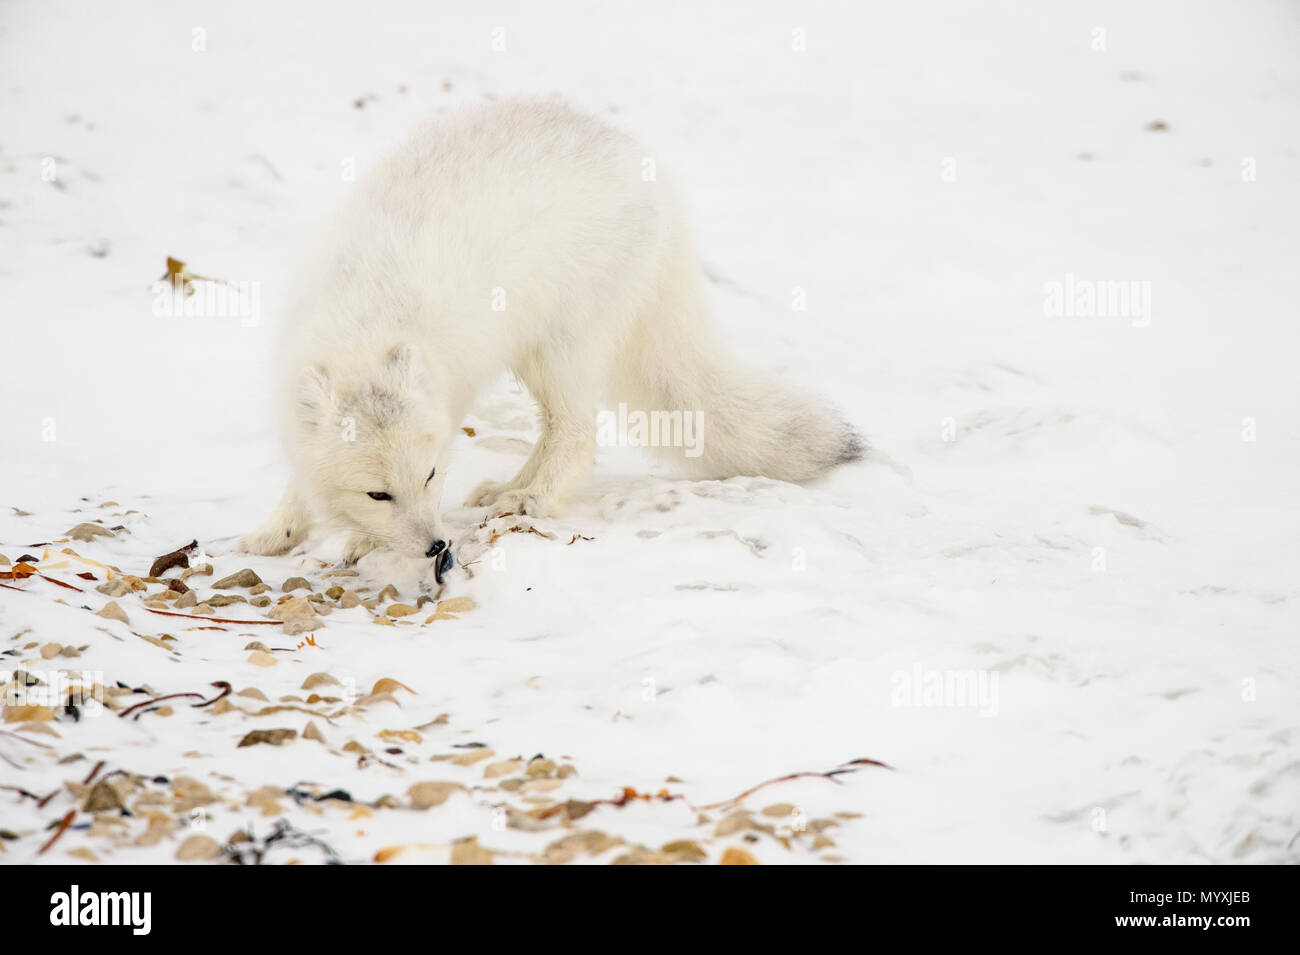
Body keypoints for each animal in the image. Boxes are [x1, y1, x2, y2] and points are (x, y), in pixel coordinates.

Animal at [238, 99, 862, 580]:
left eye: (430, 475)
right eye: (378, 493)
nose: (438, 545)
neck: (366, 325)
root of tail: (651, 175)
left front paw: (363, 543)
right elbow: (298, 479)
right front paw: (273, 535)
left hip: (562, 347)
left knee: (577, 433)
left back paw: (528, 498)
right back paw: (505, 491)